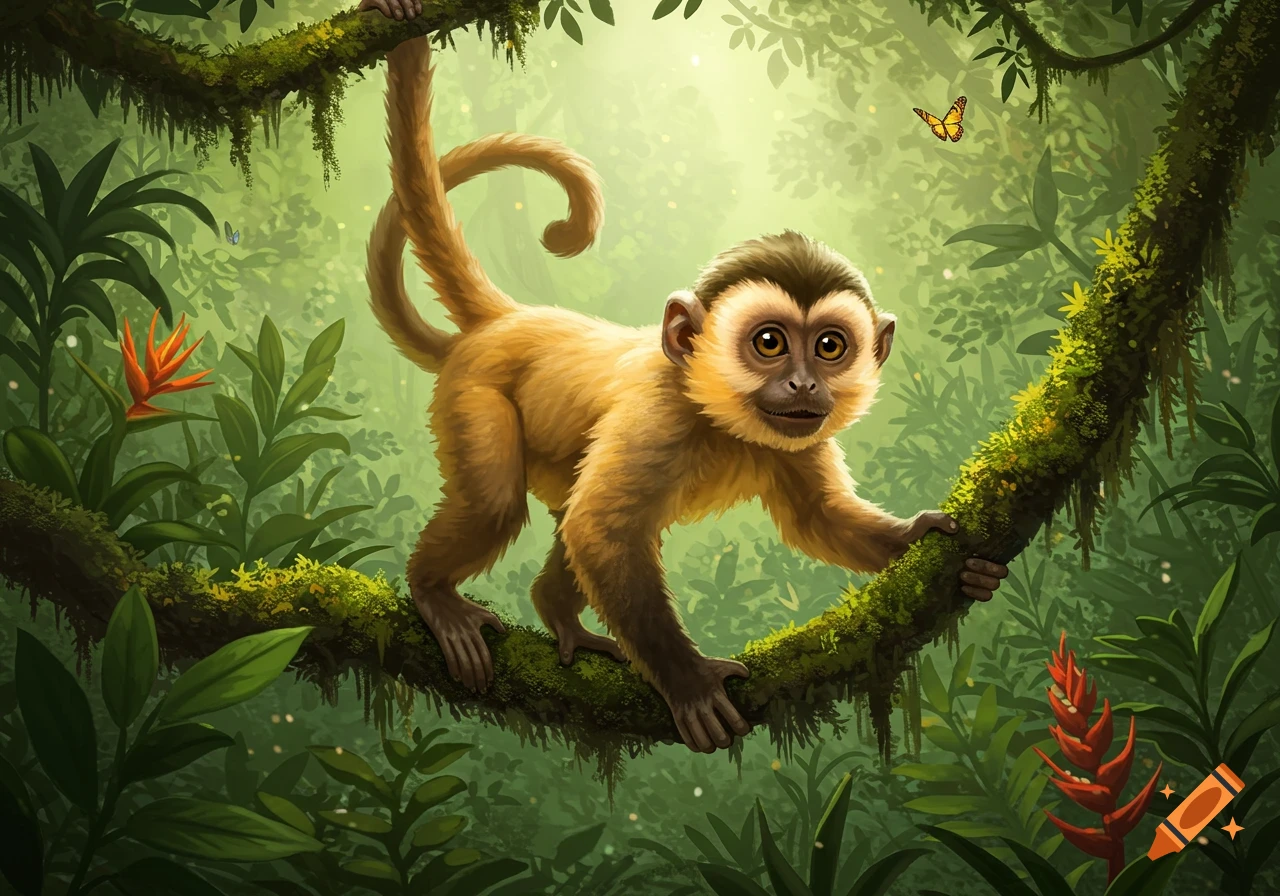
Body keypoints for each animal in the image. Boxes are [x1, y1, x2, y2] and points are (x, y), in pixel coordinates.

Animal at [362, 32, 1010, 754]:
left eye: (829, 346)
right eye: (769, 343)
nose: (804, 382)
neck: (717, 416)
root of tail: (510, 320)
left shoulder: (798, 437)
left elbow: (817, 521)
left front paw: (932, 546)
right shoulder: (658, 416)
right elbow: (602, 531)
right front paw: (689, 681)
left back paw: (558, 613)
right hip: (475, 396)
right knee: (500, 505)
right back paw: (433, 593)